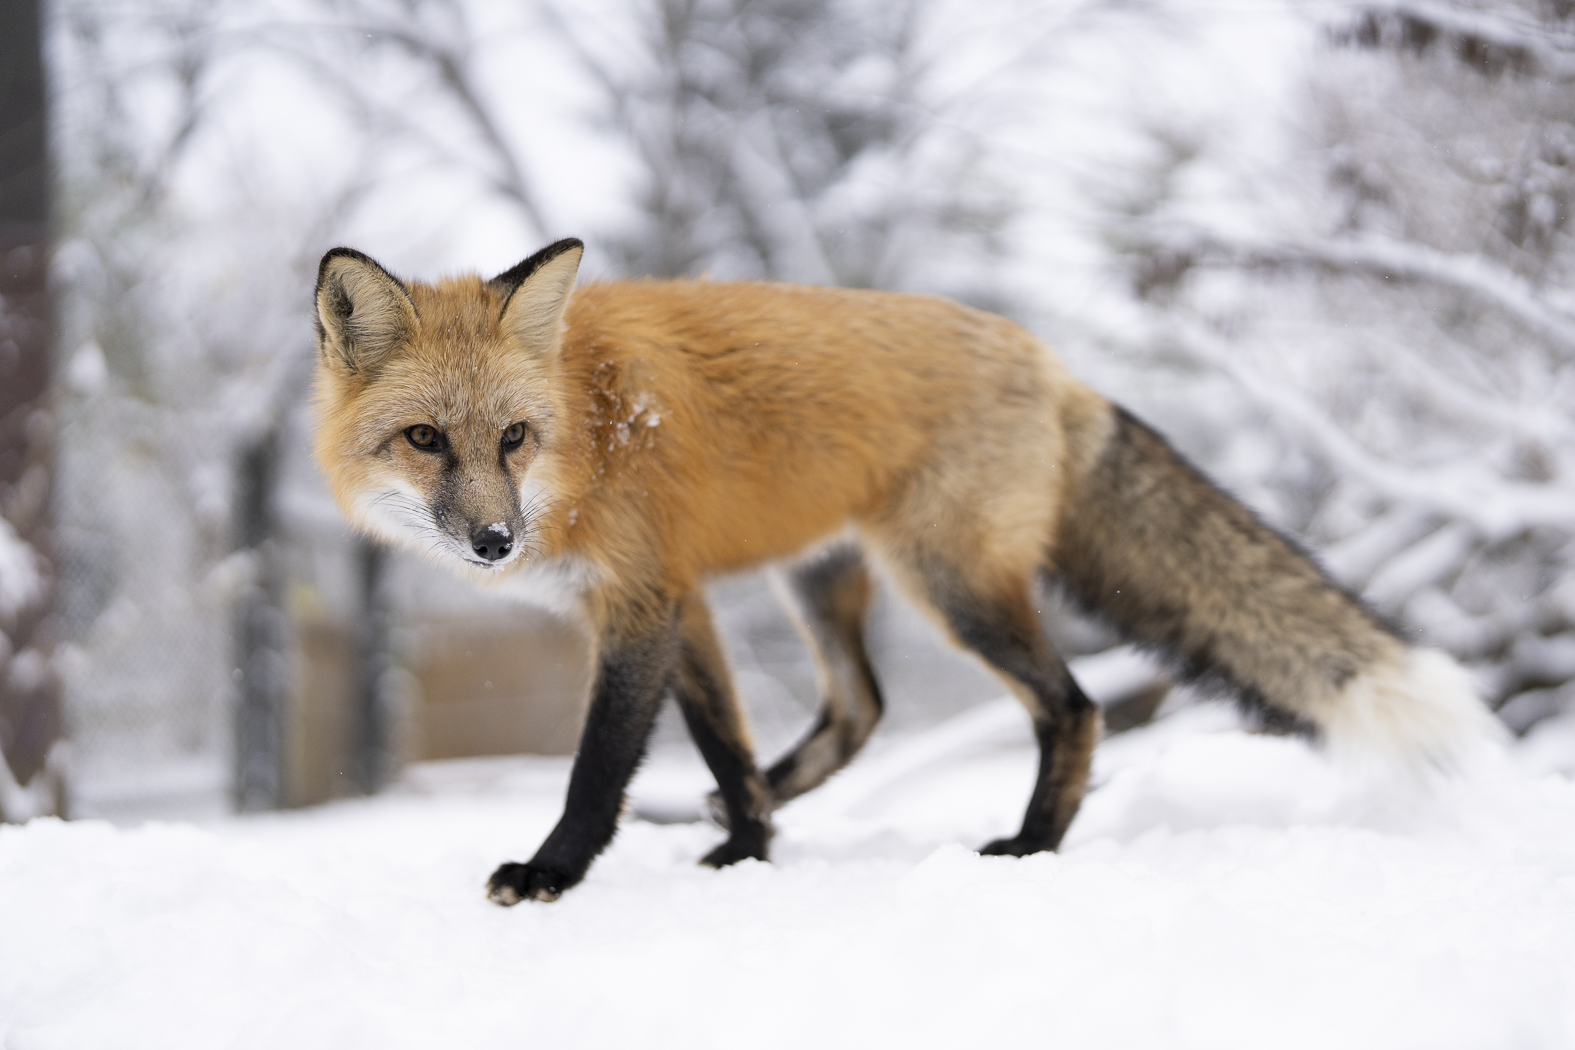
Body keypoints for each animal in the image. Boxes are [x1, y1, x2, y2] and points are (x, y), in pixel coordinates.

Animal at [311, 237, 1498, 904]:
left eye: (513, 438)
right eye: (425, 440)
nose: (495, 544)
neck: (591, 429)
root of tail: (1056, 366)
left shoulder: (641, 601)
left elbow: (598, 766)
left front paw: (553, 872)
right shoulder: (675, 600)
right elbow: (724, 738)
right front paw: (748, 852)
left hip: (951, 586)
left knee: (1070, 707)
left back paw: (1029, 847)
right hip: (823, 578)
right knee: (860, 711)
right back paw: (749, 809)